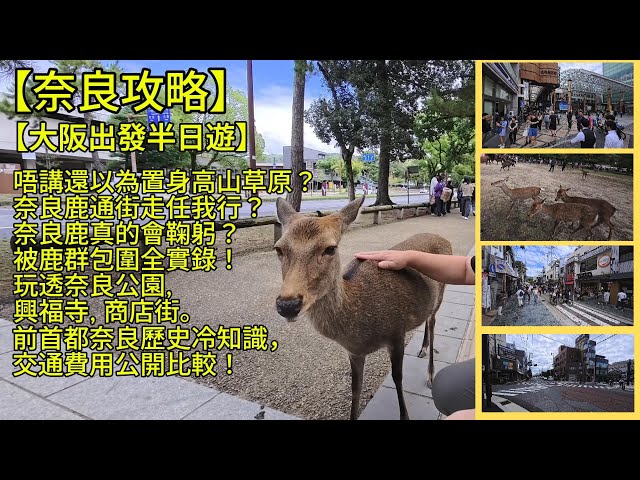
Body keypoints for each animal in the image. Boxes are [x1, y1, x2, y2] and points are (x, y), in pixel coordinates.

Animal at [274, 196, 451, 420]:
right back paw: (423, 348)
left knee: (433, 322)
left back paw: (430, 373)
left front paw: (405, 415)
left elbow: (398, 377)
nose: (287, 304)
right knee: (427, 320)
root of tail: (444, 239)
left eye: (330, 248)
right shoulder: (354, 352)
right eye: (278, 249)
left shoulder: (397, 332)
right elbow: (355, 388)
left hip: (441, 295)